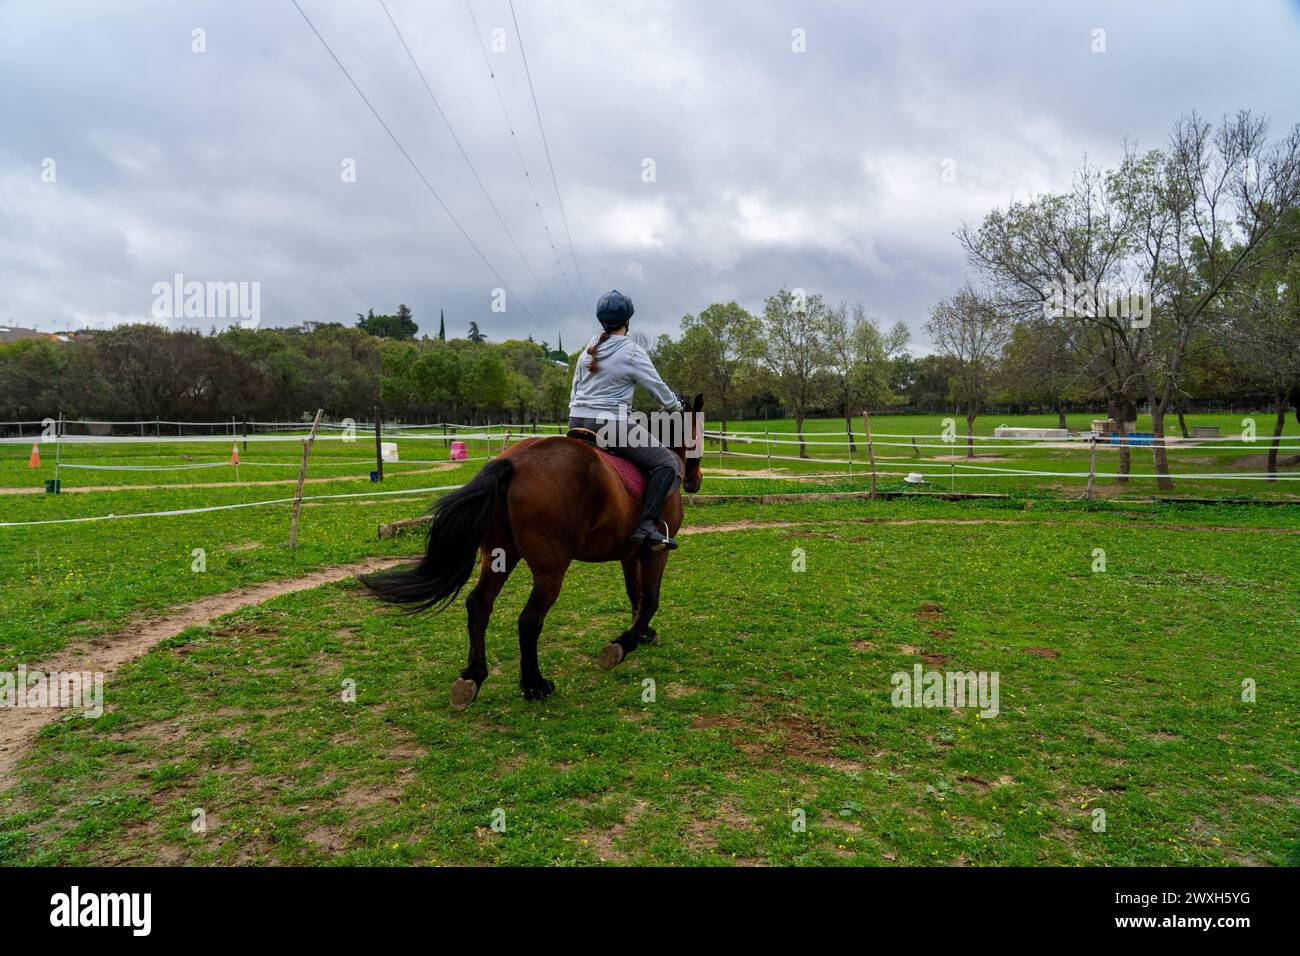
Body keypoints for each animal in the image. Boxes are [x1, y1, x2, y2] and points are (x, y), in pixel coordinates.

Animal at [361, 394, 705, 709]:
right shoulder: (656, 552)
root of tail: (513, 462)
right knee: (529, 620)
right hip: (551, 571)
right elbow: (651, 599)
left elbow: (636, 594)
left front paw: (641, 633)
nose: (695, 481)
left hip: (500, 556)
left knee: (479, 605)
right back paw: (534, 685)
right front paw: (622, 645)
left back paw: (473, 677)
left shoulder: (630, 554)